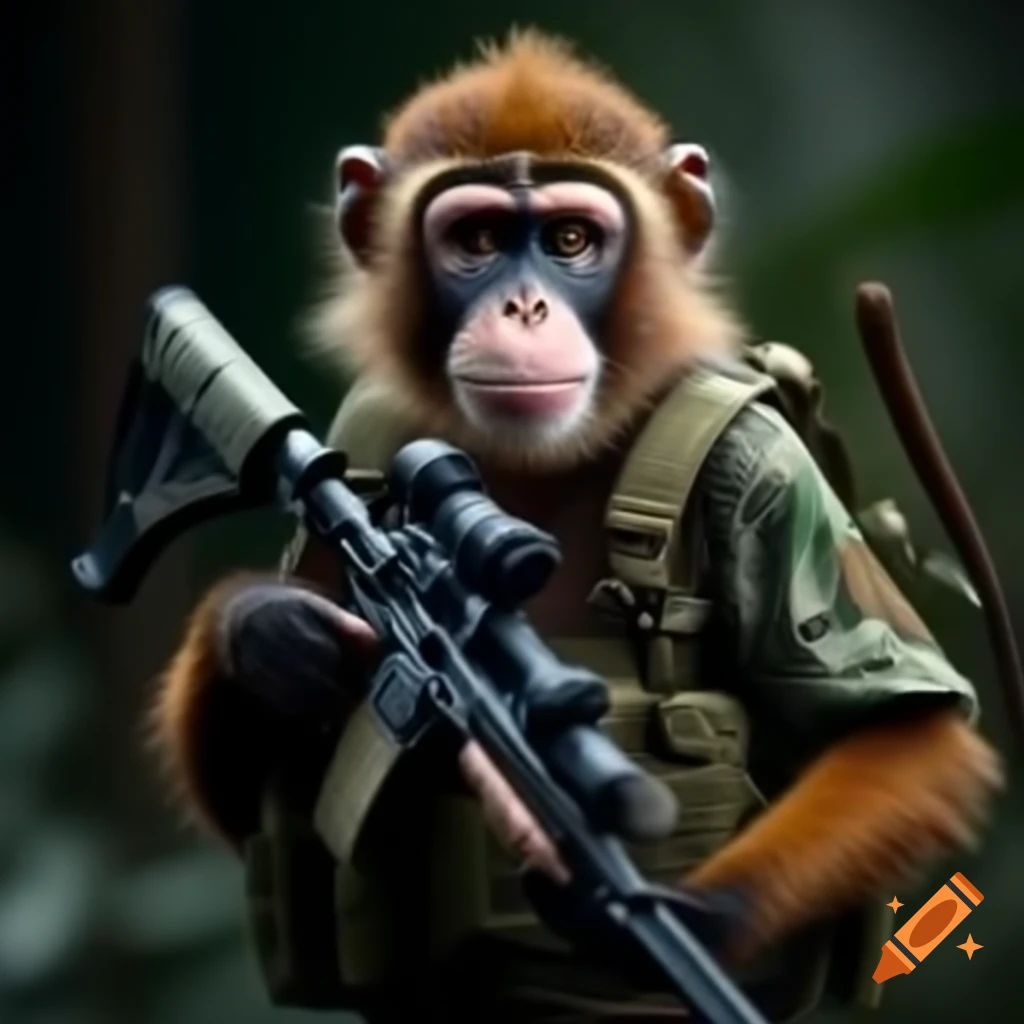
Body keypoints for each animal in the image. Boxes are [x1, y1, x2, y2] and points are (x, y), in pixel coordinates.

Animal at [150, 29, 1003, 1022]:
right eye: (478, 240)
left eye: (570, 240)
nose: (524, 306)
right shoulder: (355, 440)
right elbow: (240, 795)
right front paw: (272, 630)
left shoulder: (767, 470)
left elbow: (913, 736)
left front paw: (674, 921)